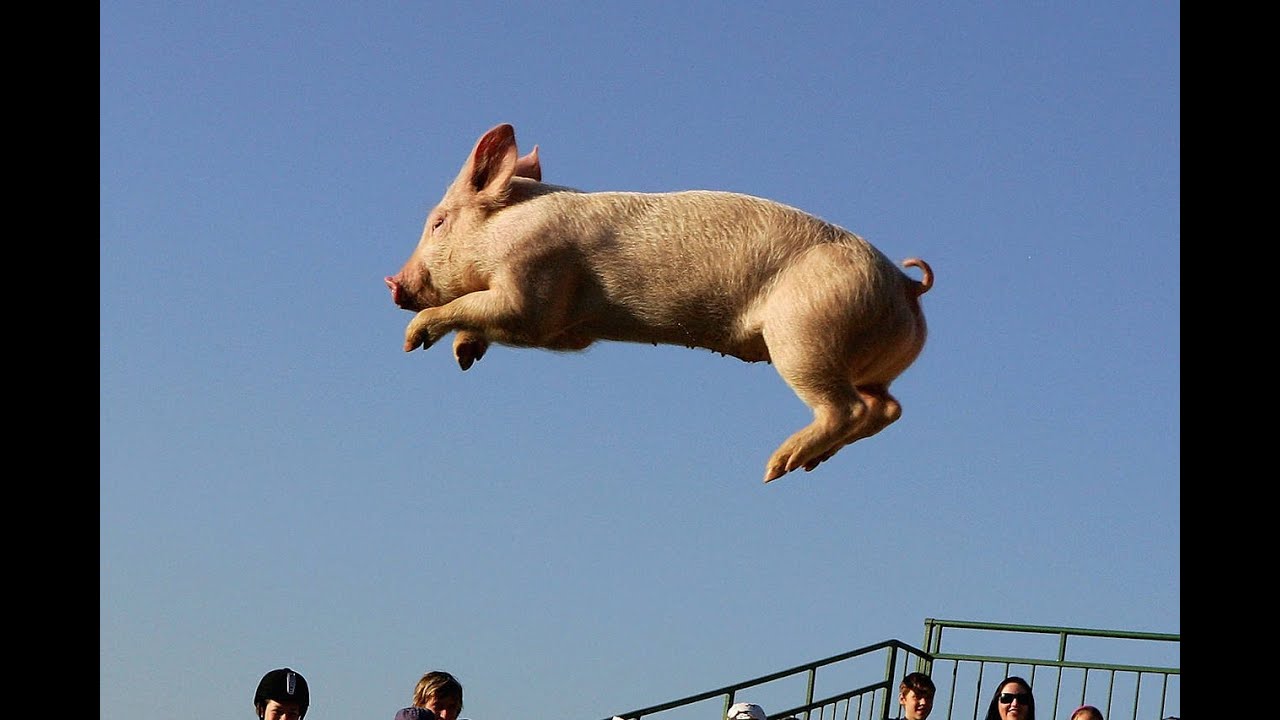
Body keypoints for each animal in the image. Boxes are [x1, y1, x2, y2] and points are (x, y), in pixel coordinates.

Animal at [386, 123, 934, 483]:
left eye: (438, 222)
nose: (394, 284)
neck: (505, 231)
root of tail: (907, 286)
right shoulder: (569, 329)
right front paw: (463, 357)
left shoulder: (535, 283)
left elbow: (495, 308)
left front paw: (413, 342)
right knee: (887, 408)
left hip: (805, 335)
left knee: (848, 407)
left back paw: (777, 468)